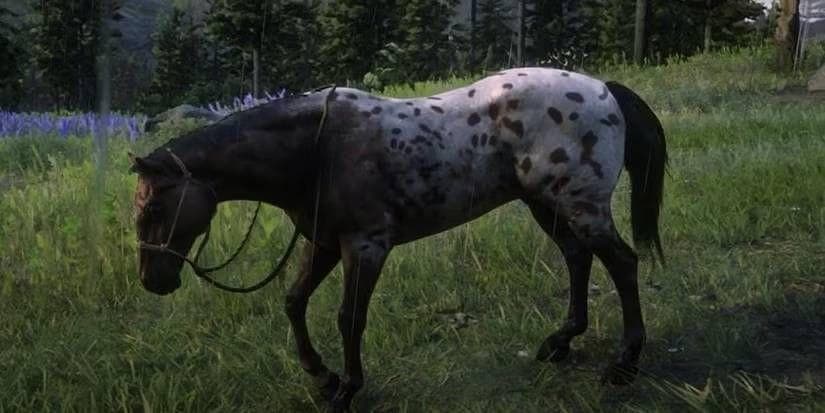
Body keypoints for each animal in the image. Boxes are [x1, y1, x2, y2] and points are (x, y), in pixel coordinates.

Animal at [131, 67, 667, 412]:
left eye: (154, 209)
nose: (153, 280)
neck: (315, 150)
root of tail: (603, 89)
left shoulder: (366, 245)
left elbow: (349, 317)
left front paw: (347, 389)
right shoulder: (324, 243)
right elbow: (294, 301)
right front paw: (322, 376)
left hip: (582, 206)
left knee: (622, 263)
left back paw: (624, 363)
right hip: (545, 203)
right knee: (578, 258)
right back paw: (560, 341)